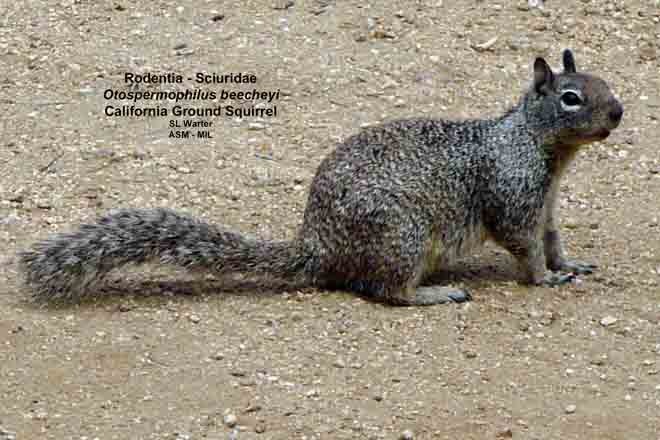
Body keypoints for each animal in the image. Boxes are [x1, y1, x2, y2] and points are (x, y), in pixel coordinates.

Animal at [19, 49, 623, 305]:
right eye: (572, 98)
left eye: (606, 81)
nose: (619, 112)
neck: (533, 143)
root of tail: (318, 248)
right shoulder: (514, 196)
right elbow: (524, 247)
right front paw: (545, 280)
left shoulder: (546, 205)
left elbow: (552, 240)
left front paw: (569, 264)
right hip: (401, 235)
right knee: (385, 291)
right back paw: (435, 294)